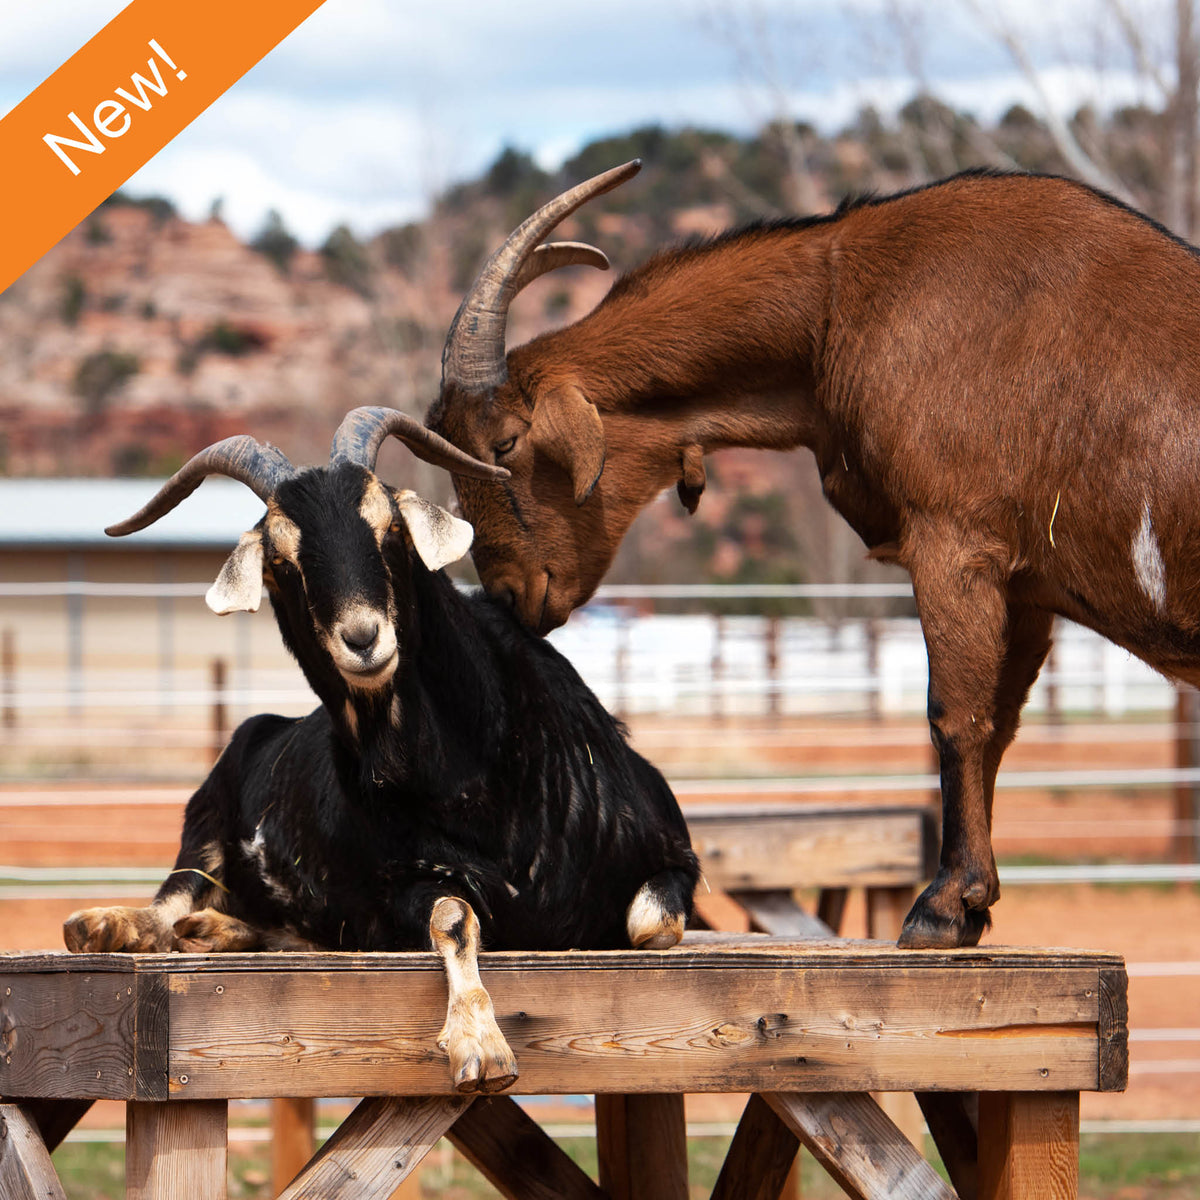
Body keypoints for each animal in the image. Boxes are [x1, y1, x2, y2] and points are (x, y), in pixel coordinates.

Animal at [63, 406, 699, 1092]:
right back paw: (105, 924)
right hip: (203, 823)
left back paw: (214, 930)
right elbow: (452, 915)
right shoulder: (395, 889)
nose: (364, 638)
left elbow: (652, 921)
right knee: (173, 896)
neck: (478, 785)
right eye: (281, 560)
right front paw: (482, 1043)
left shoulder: (674, 858)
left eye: (389, 525)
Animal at [427, 159, 1200, 950]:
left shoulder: (955, 539)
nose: (508, 593)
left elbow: (955, 716)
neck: (836, 303)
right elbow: (1000, 722)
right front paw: (975, 905)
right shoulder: (1024, 586)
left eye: (505, 444)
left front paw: (942, 908)